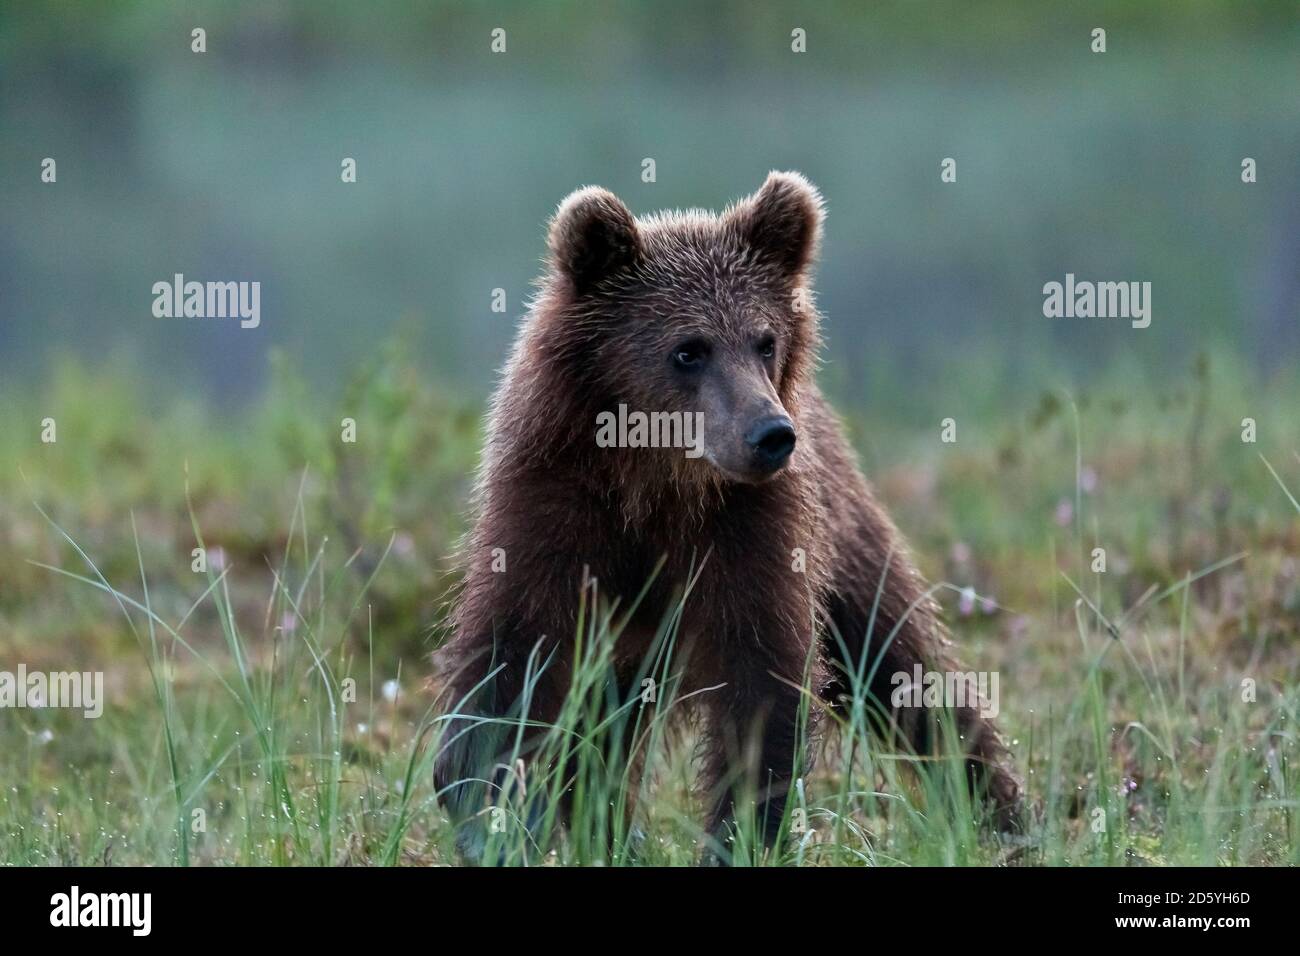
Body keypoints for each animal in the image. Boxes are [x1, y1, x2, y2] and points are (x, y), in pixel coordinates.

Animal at [433, 171, 1022, 861]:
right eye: (689, 350)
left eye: (765, 340)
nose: (770, 435)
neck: (654, 482)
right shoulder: (554, 506)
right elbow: (511, 655)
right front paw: (485, 810)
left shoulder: (750, 527)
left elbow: (763, 680)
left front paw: (741, 834)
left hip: (843, 535)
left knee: (905, 665)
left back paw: (999, 811)